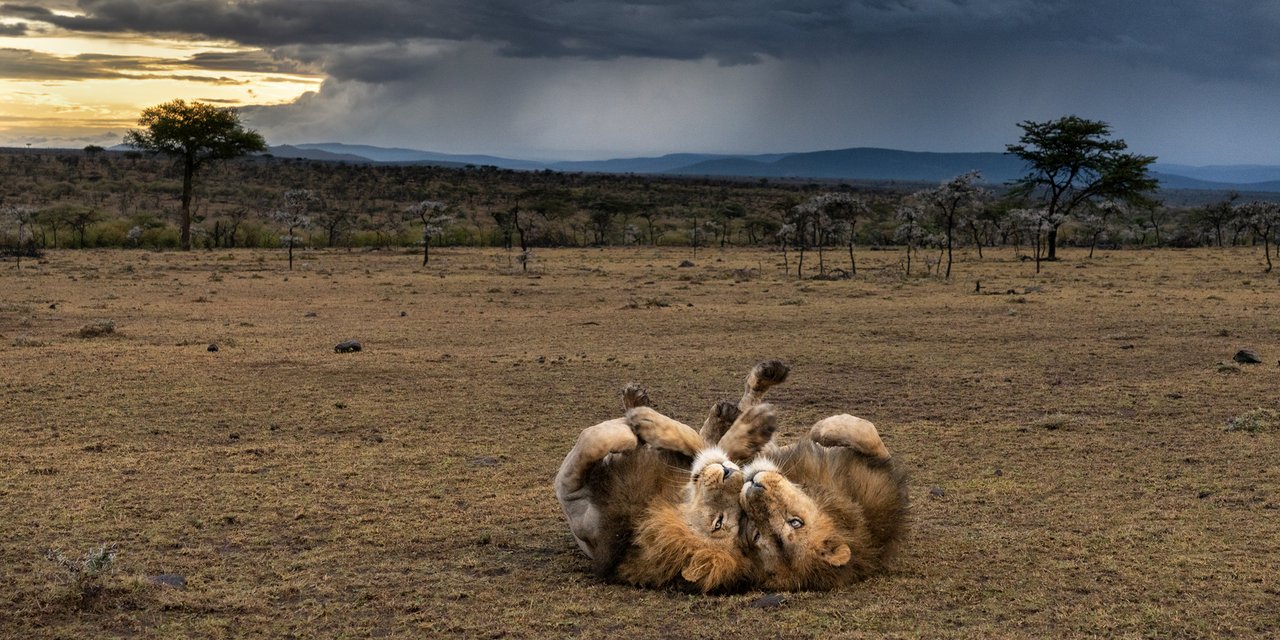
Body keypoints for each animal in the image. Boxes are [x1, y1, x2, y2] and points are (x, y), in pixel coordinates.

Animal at [739, 413, 909, 591]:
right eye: (757, 534)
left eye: (795, 522)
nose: (753, 489)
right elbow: (869, 434)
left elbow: (868, 434)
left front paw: (820, 429)